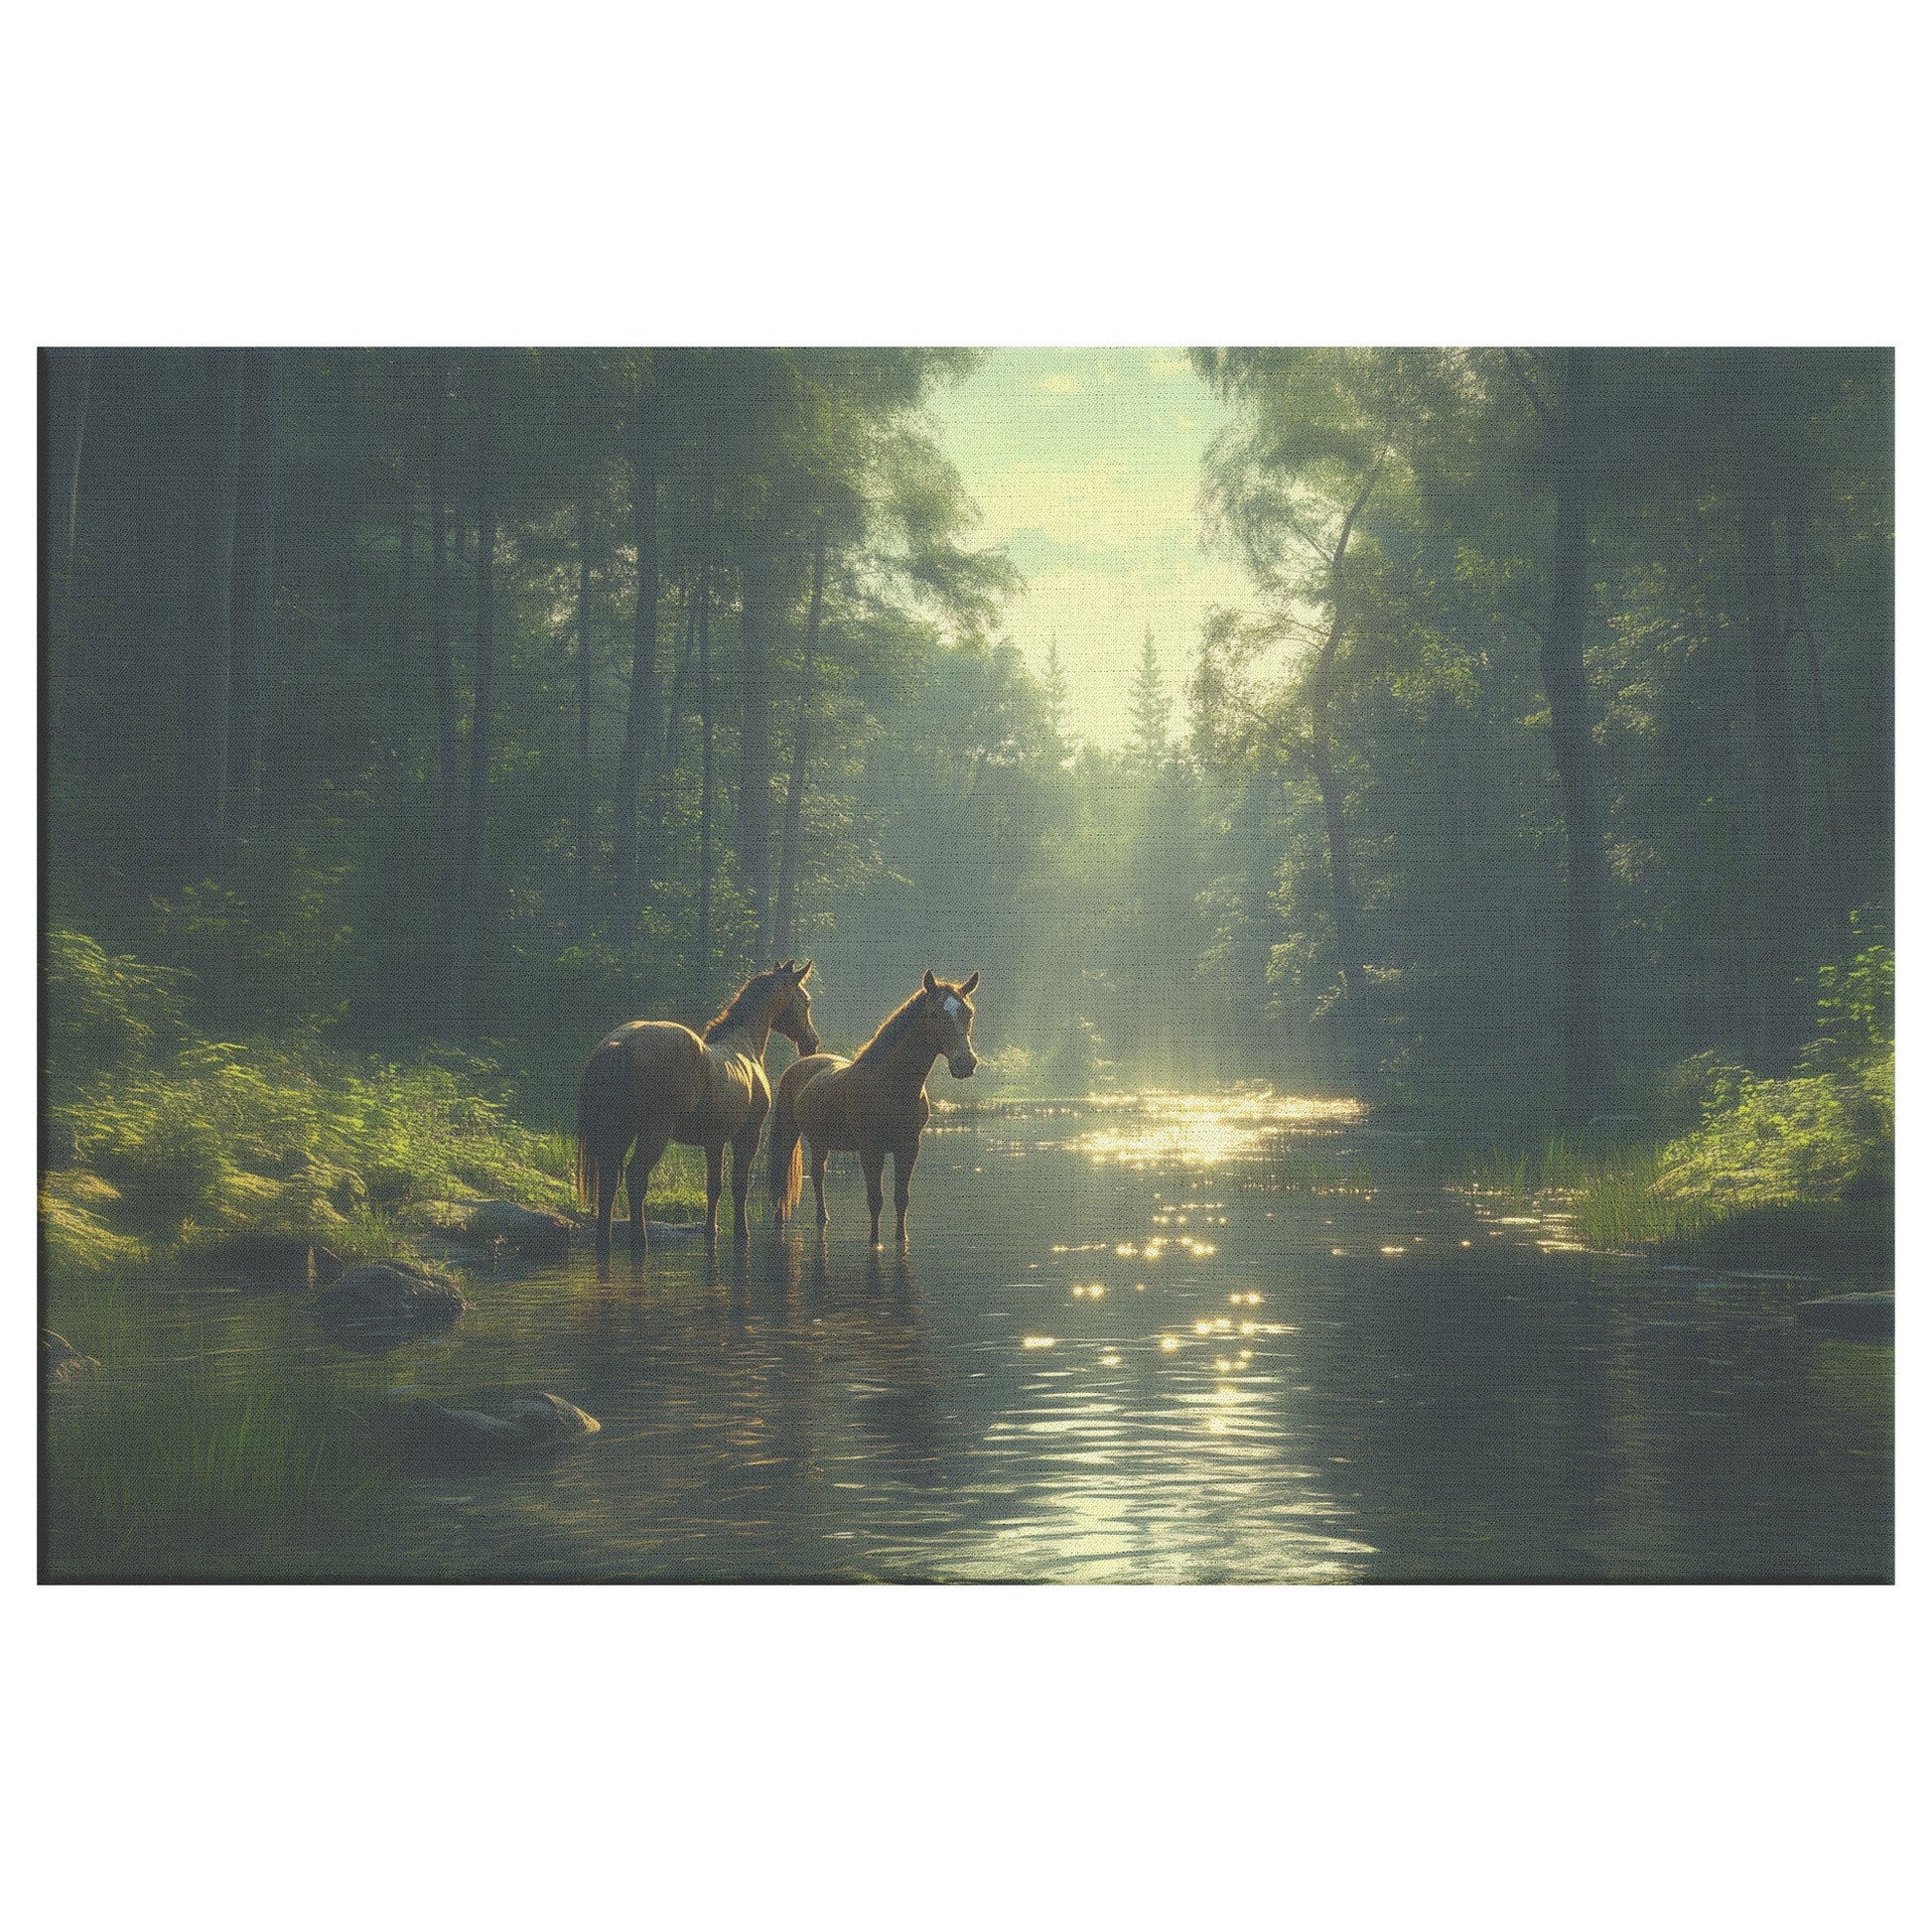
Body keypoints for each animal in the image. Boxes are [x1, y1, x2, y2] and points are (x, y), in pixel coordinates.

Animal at [576, 960, 820, 1264]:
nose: (813, 1042)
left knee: (610, 1180)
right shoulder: (747, 1136)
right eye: (806, 1001)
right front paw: (742, 1232)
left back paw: (604, 1242)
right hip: (654, 1133)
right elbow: (739, 1186)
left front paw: (710, 1231)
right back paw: (640, 1241)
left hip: (620, 1132)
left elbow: (713, 1188)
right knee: (636, 1178)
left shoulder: (714, 1141)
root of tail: (619, 1044)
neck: (744, 1046)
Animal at [769, 969, 979, 1245]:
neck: (890, 1083)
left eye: (969, 1012)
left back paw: (822, 1217)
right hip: (789, 1133)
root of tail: (799, 1065)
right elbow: (875, 1200)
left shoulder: (909, 1148)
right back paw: (779, 1218)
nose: (965, 1063)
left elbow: (901, 1199)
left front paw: (901, 1239)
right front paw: (874, 1242)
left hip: (820, 1141)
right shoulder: (871, 1150)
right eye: (934, 1013)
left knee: (818, 1173)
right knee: (782, 1174)